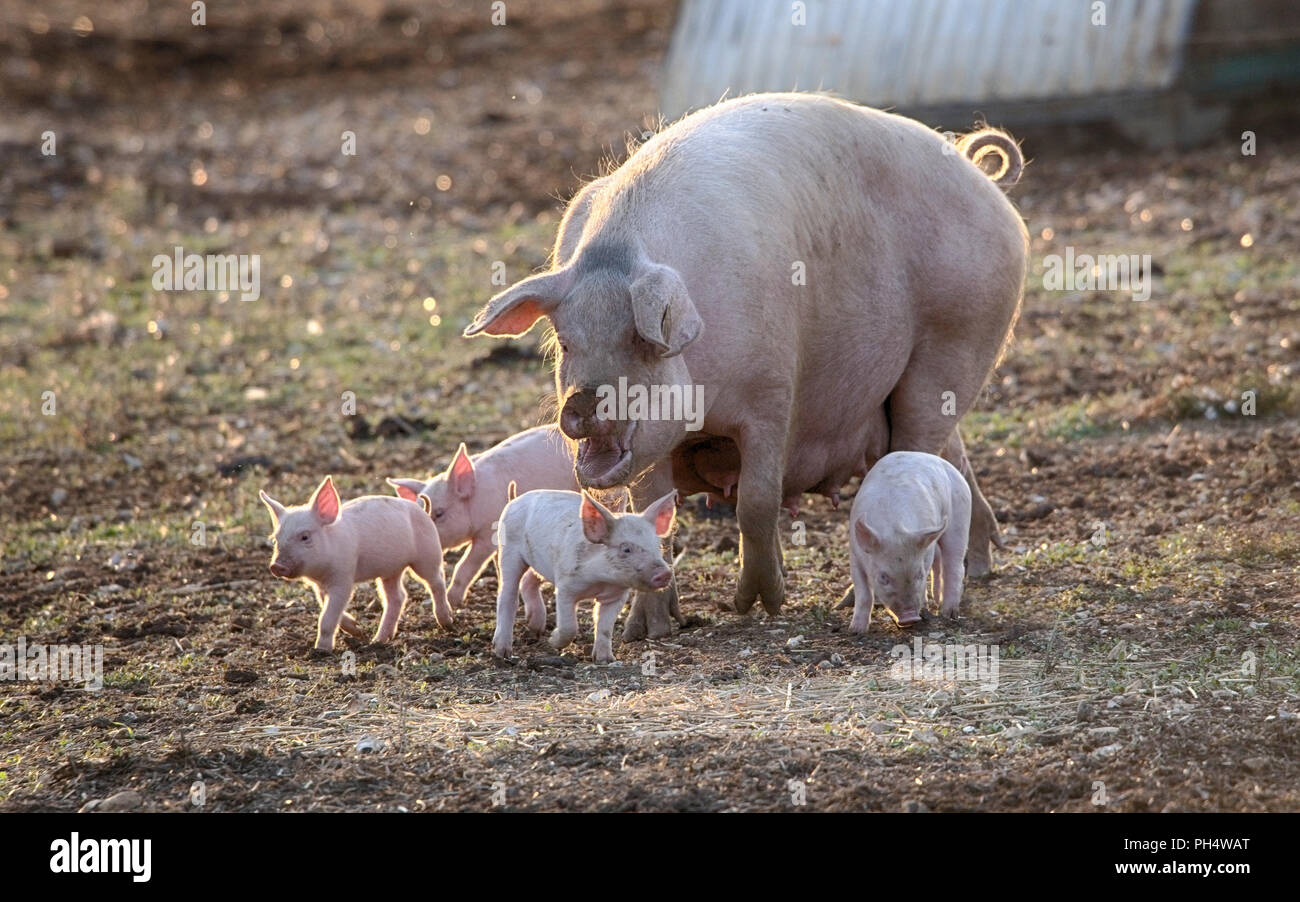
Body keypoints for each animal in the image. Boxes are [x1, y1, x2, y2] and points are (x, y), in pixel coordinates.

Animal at [260, 475, 452, 651]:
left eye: (305, 537)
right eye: (276, 540)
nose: (276, 566)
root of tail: (422, 510)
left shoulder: (344, 576)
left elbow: (328, 615)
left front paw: (321, 650)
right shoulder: (319, 586)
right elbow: (324, 605)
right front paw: (357, 631)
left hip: (428, 555)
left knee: (437, 581)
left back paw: (447, 622)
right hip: (390, 570)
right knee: (398, 597)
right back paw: (378, 640)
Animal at [491, 489, 677, 663]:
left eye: (658, 546)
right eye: (626, 549)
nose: (665, 573)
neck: (601, 582)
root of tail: (516, 499)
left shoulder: (616, 596)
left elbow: (605, 628)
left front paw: (605, 660)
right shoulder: (566, 586)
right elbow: (569, 627)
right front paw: (552, 641)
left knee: (528, 580)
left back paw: (536, 628)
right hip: (508, 550)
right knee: (507, 595)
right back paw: (502, 653)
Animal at [846, 452, 972, 633]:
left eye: (918, 574)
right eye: (883, 577)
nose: (909, 617)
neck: (893, 528)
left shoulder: (924, 552)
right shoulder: (855, 555)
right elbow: (863, 593)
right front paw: (855, 631)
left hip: (960, 519)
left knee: (955, 566)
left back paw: (948, 613)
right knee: (940, 563)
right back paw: (937, 601)